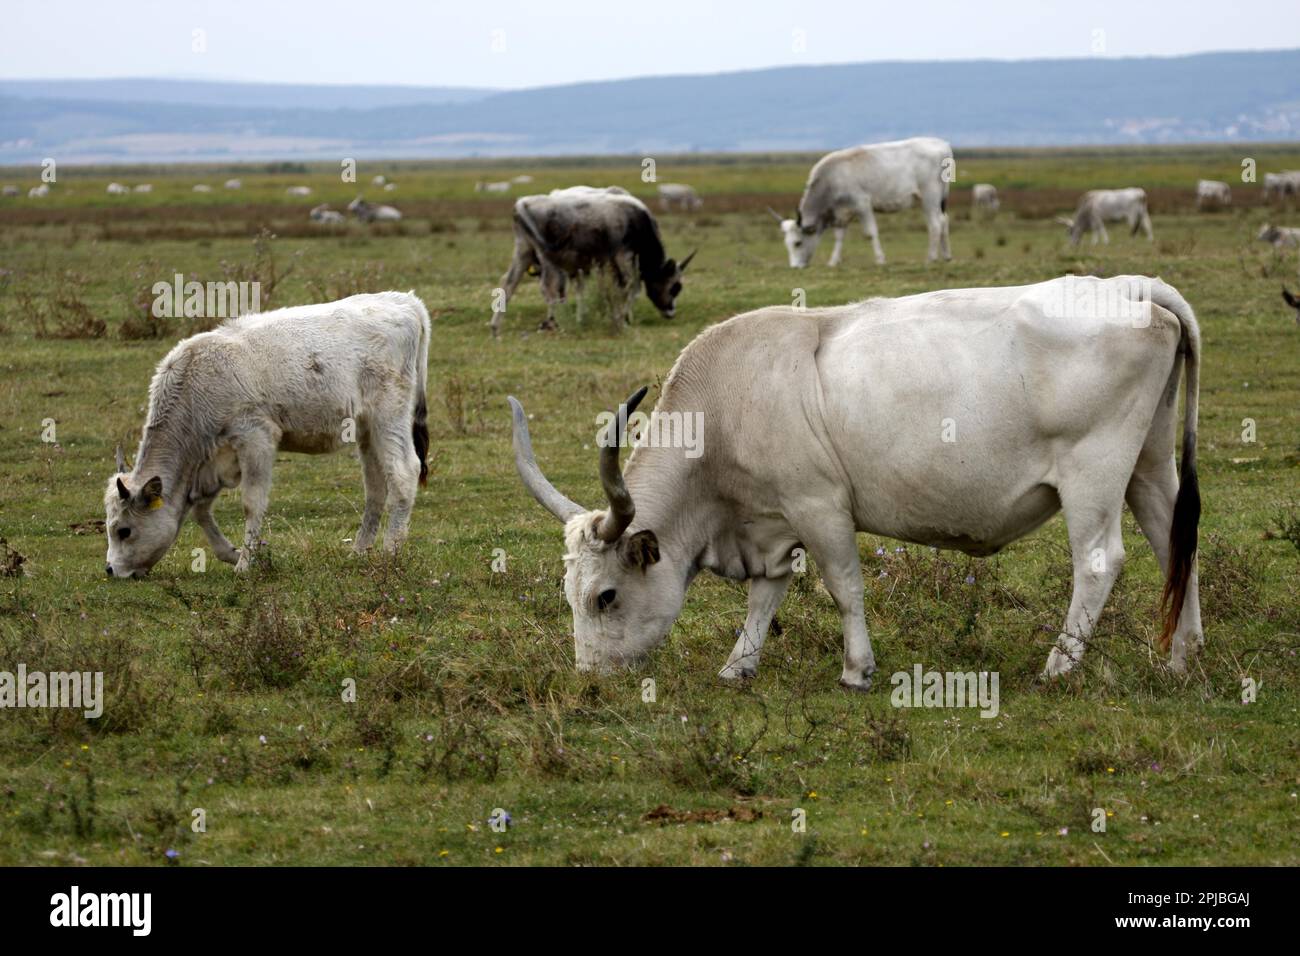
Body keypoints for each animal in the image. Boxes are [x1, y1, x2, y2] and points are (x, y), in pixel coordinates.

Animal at [103, 292, 431, 578]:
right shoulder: (213, 463)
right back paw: (360, 550)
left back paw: (390, 552)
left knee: (403, 473)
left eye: (124, 530)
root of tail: (404, 301)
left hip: (389, 416)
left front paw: (245, 563)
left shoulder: (255, 438)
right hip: (366, 430)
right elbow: (201, 511)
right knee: (375, 486)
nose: (110, 570)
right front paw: (232, 553)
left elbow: (251, 503)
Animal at [492, 185, 694, 335]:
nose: (671, 312)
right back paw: (553, 324)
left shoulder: (607, 263)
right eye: (674, 287)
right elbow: (632, 287)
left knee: (508, 283)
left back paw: (495, 327)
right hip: (546, 258)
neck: (638, 220)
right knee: (549, 288)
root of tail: (523, 203)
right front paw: (624, 318)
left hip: (524, 251)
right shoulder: (624, 257)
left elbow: (612, 288)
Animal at [509, 275, 1203, 689]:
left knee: (1099, 562)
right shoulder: (772, 523)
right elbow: (766, 596)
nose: (589, 678)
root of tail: (1128, 288)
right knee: (1176, 545)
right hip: (1148, 467)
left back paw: (1058, 666)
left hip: (1094, 474)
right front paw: (739, 667)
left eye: (605, 597)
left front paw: (857, 670)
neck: (727, 404)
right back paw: (1182, 657)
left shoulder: (818, 506)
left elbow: (844, 586)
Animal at [773, 136, 953, 267]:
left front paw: (880, 259)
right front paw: (833, 261)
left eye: (797, 243)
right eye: (786, 244)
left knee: (935, 225)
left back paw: (931, 257)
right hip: (938, 202)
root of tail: (942, 144)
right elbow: (839, 237)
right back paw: (946, 256)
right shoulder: (842, 214)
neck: (831, 179)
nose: (795, 267)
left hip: (930, 198)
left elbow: (870, 233)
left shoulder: (862, 205)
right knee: (944, 221)